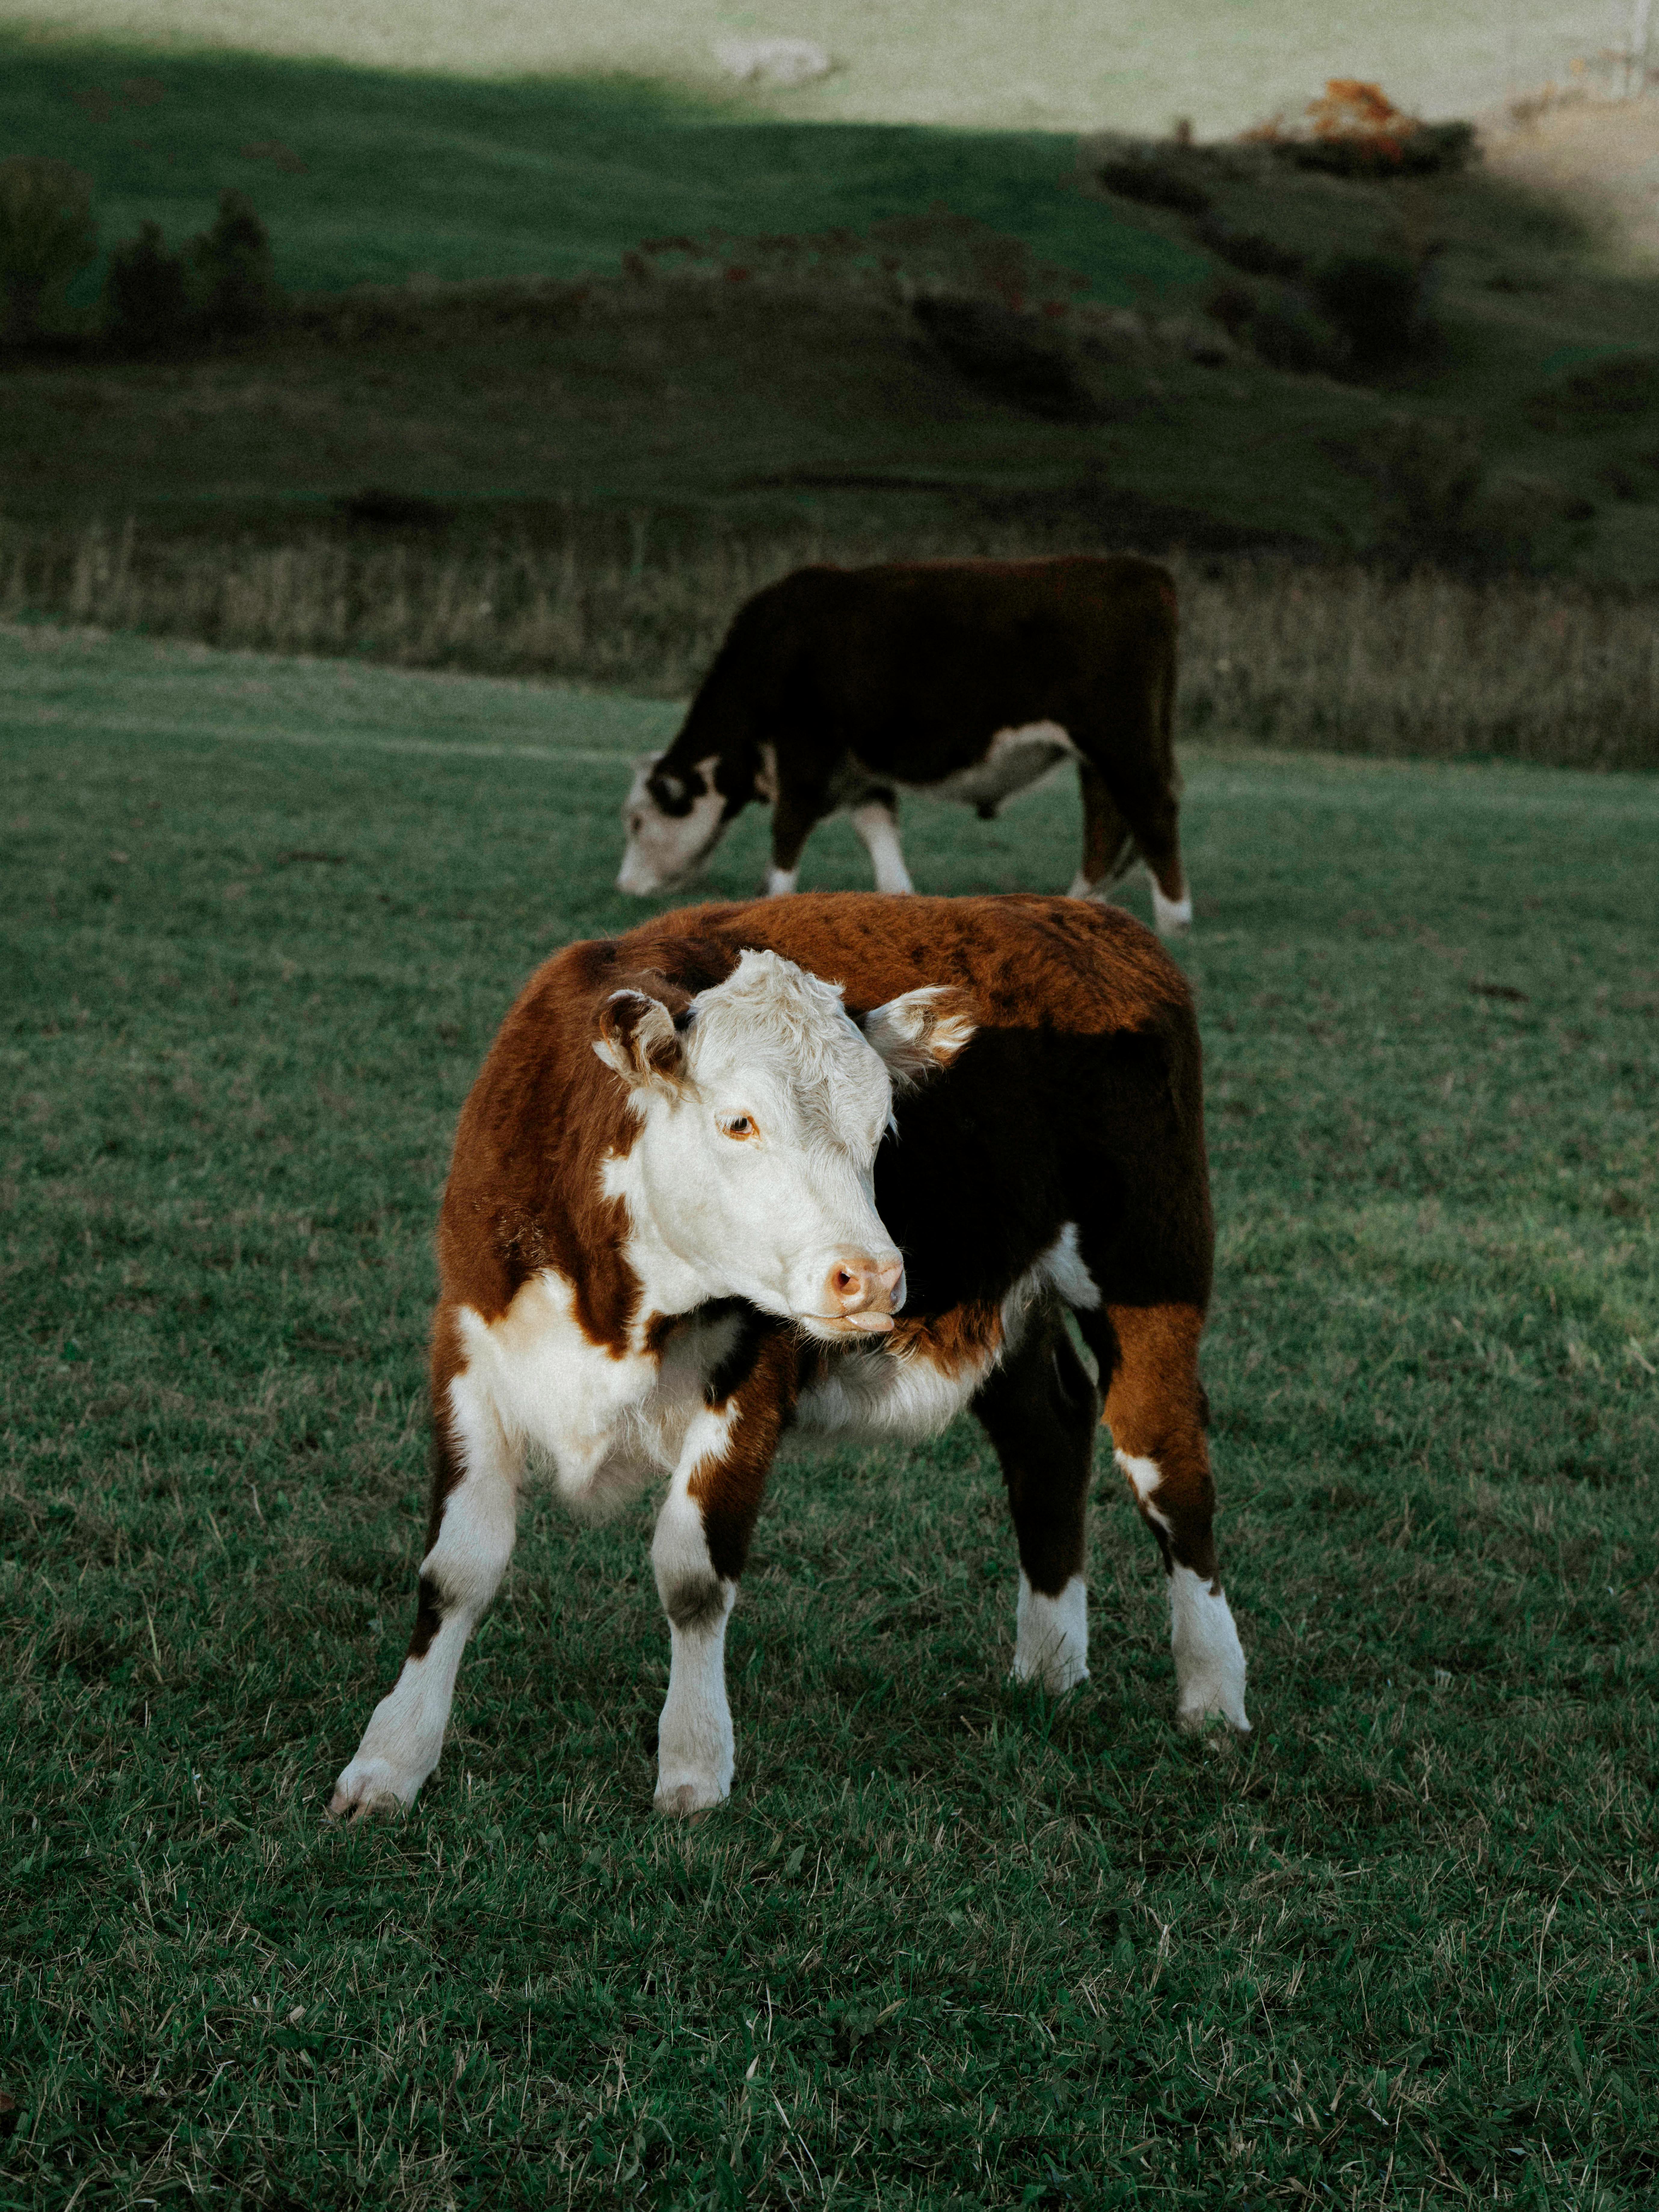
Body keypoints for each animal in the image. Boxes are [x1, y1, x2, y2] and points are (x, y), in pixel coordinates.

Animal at [330, 893, 1248, 1823]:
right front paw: (390, 1759)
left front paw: (694, 1762)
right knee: (1047, 1436)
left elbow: (693, 1574)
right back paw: (1051, 1666)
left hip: (1151, 1270)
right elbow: (457, 1569)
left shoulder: (749, 1385)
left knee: (1169, 1466)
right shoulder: (469, 1352)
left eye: (881, 1127)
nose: (872, 1274)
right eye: (739, 1120)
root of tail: (1085, 918)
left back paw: (1213, 1694)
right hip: (1014, 1300)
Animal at [615, 555, 1193, 933]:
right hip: (1097, 754)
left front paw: (773, 897)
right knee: (1106, 821)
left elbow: (789, 825)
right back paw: (1080, 905)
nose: (624, 887)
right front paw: (899, 896)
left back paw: (1174, 920)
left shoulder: (806, 748)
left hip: (1122, 741)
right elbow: (876, 827)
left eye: (639, 821)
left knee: (1152, 812)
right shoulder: (859, 765)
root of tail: (1140, 571)